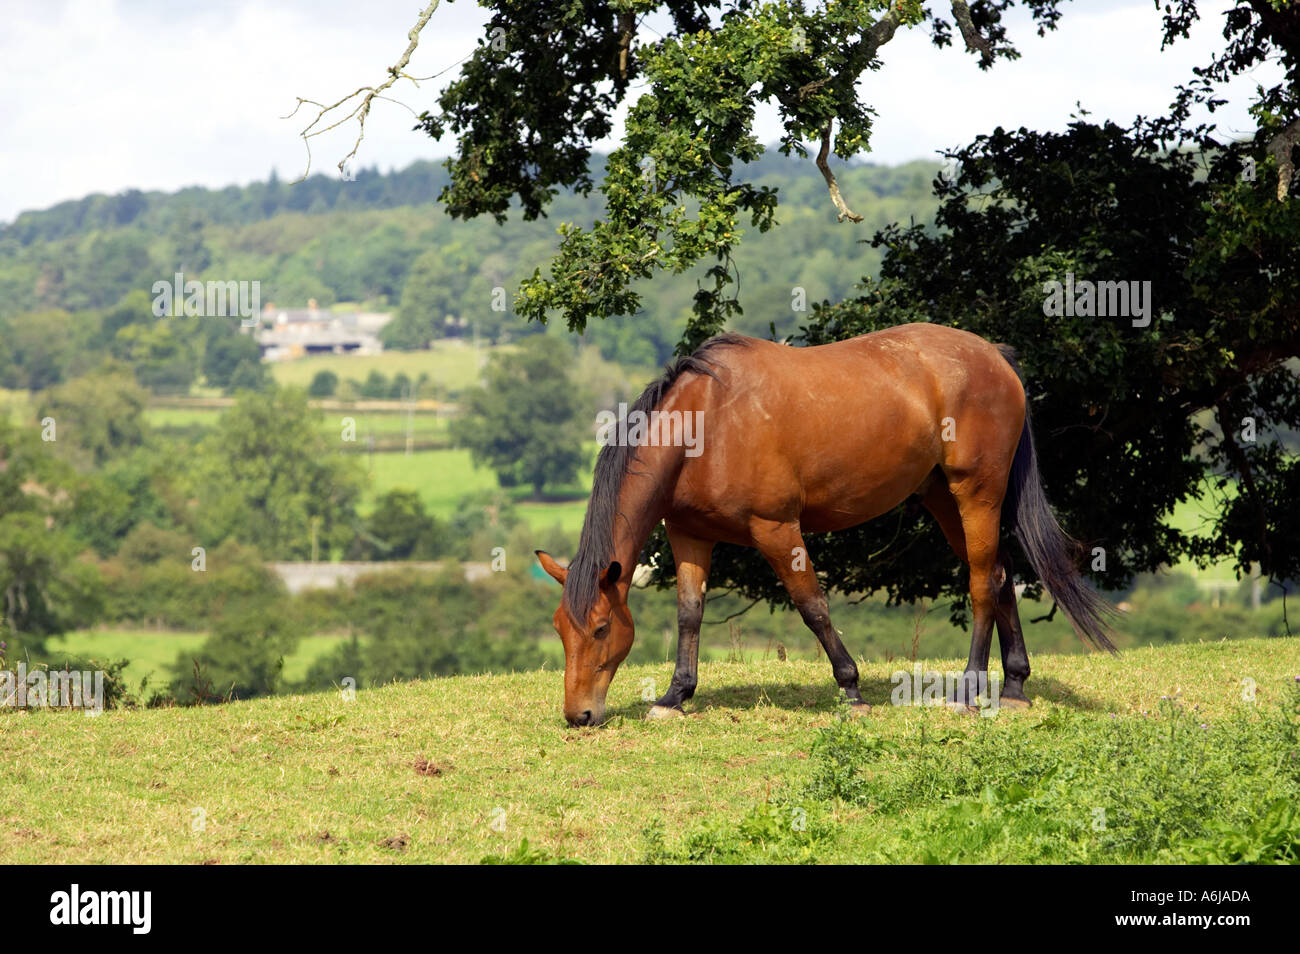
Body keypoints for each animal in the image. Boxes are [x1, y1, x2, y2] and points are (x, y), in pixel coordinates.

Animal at [536, 322, 1116, 727]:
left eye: (601, 628)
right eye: (560, 629)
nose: (579, 715)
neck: (709, 422)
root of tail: (995, 355)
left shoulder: (776, 529)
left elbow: (812, 605)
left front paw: (851, 689)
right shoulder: (690, 534)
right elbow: (689, 615)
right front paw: (676, 696)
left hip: (976, 492)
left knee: (982, 582)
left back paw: (971, 690)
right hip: (943, 498)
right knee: (1000, 575)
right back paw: (1014, 687)